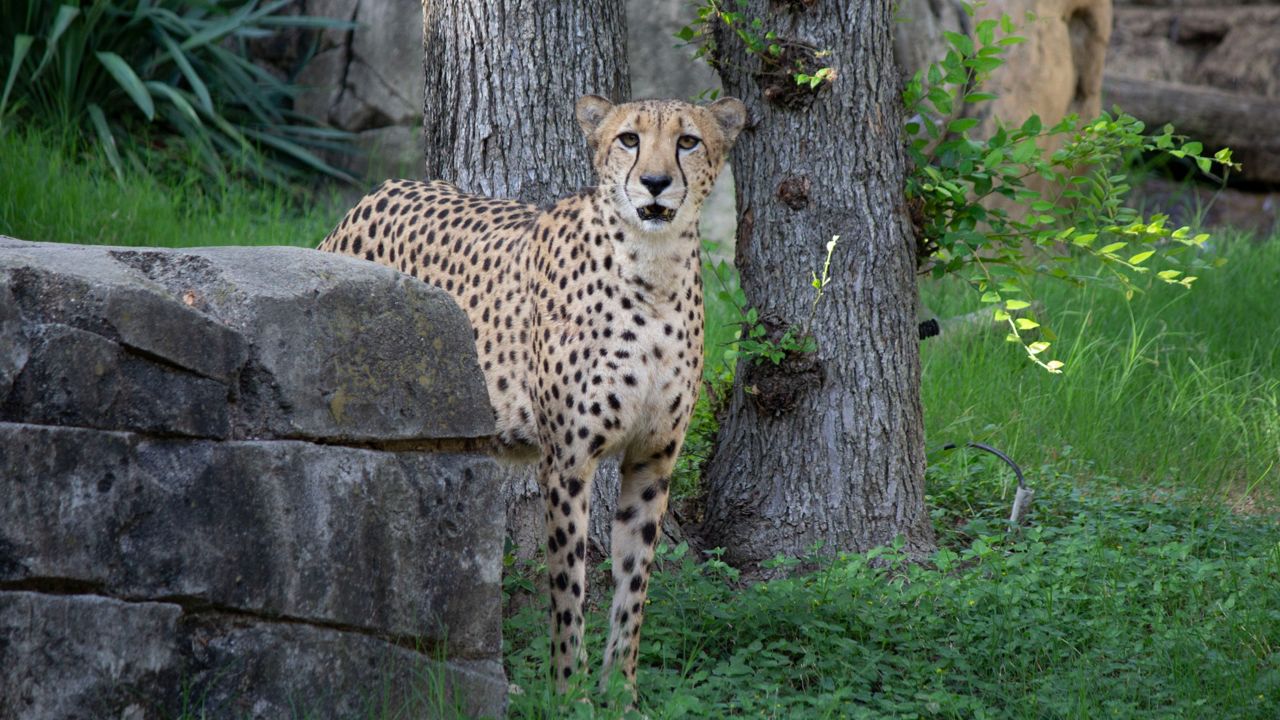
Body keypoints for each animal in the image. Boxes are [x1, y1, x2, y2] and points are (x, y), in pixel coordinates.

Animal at [314, 94, 747, 691]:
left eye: (688, 141)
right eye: (629, 139)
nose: (656, 183)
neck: (653, 268)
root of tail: (375, 193)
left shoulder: (652, 461)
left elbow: (632, 584)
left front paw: (621, 691)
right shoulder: (566, 461)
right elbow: (567, 589)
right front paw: (570, 692)